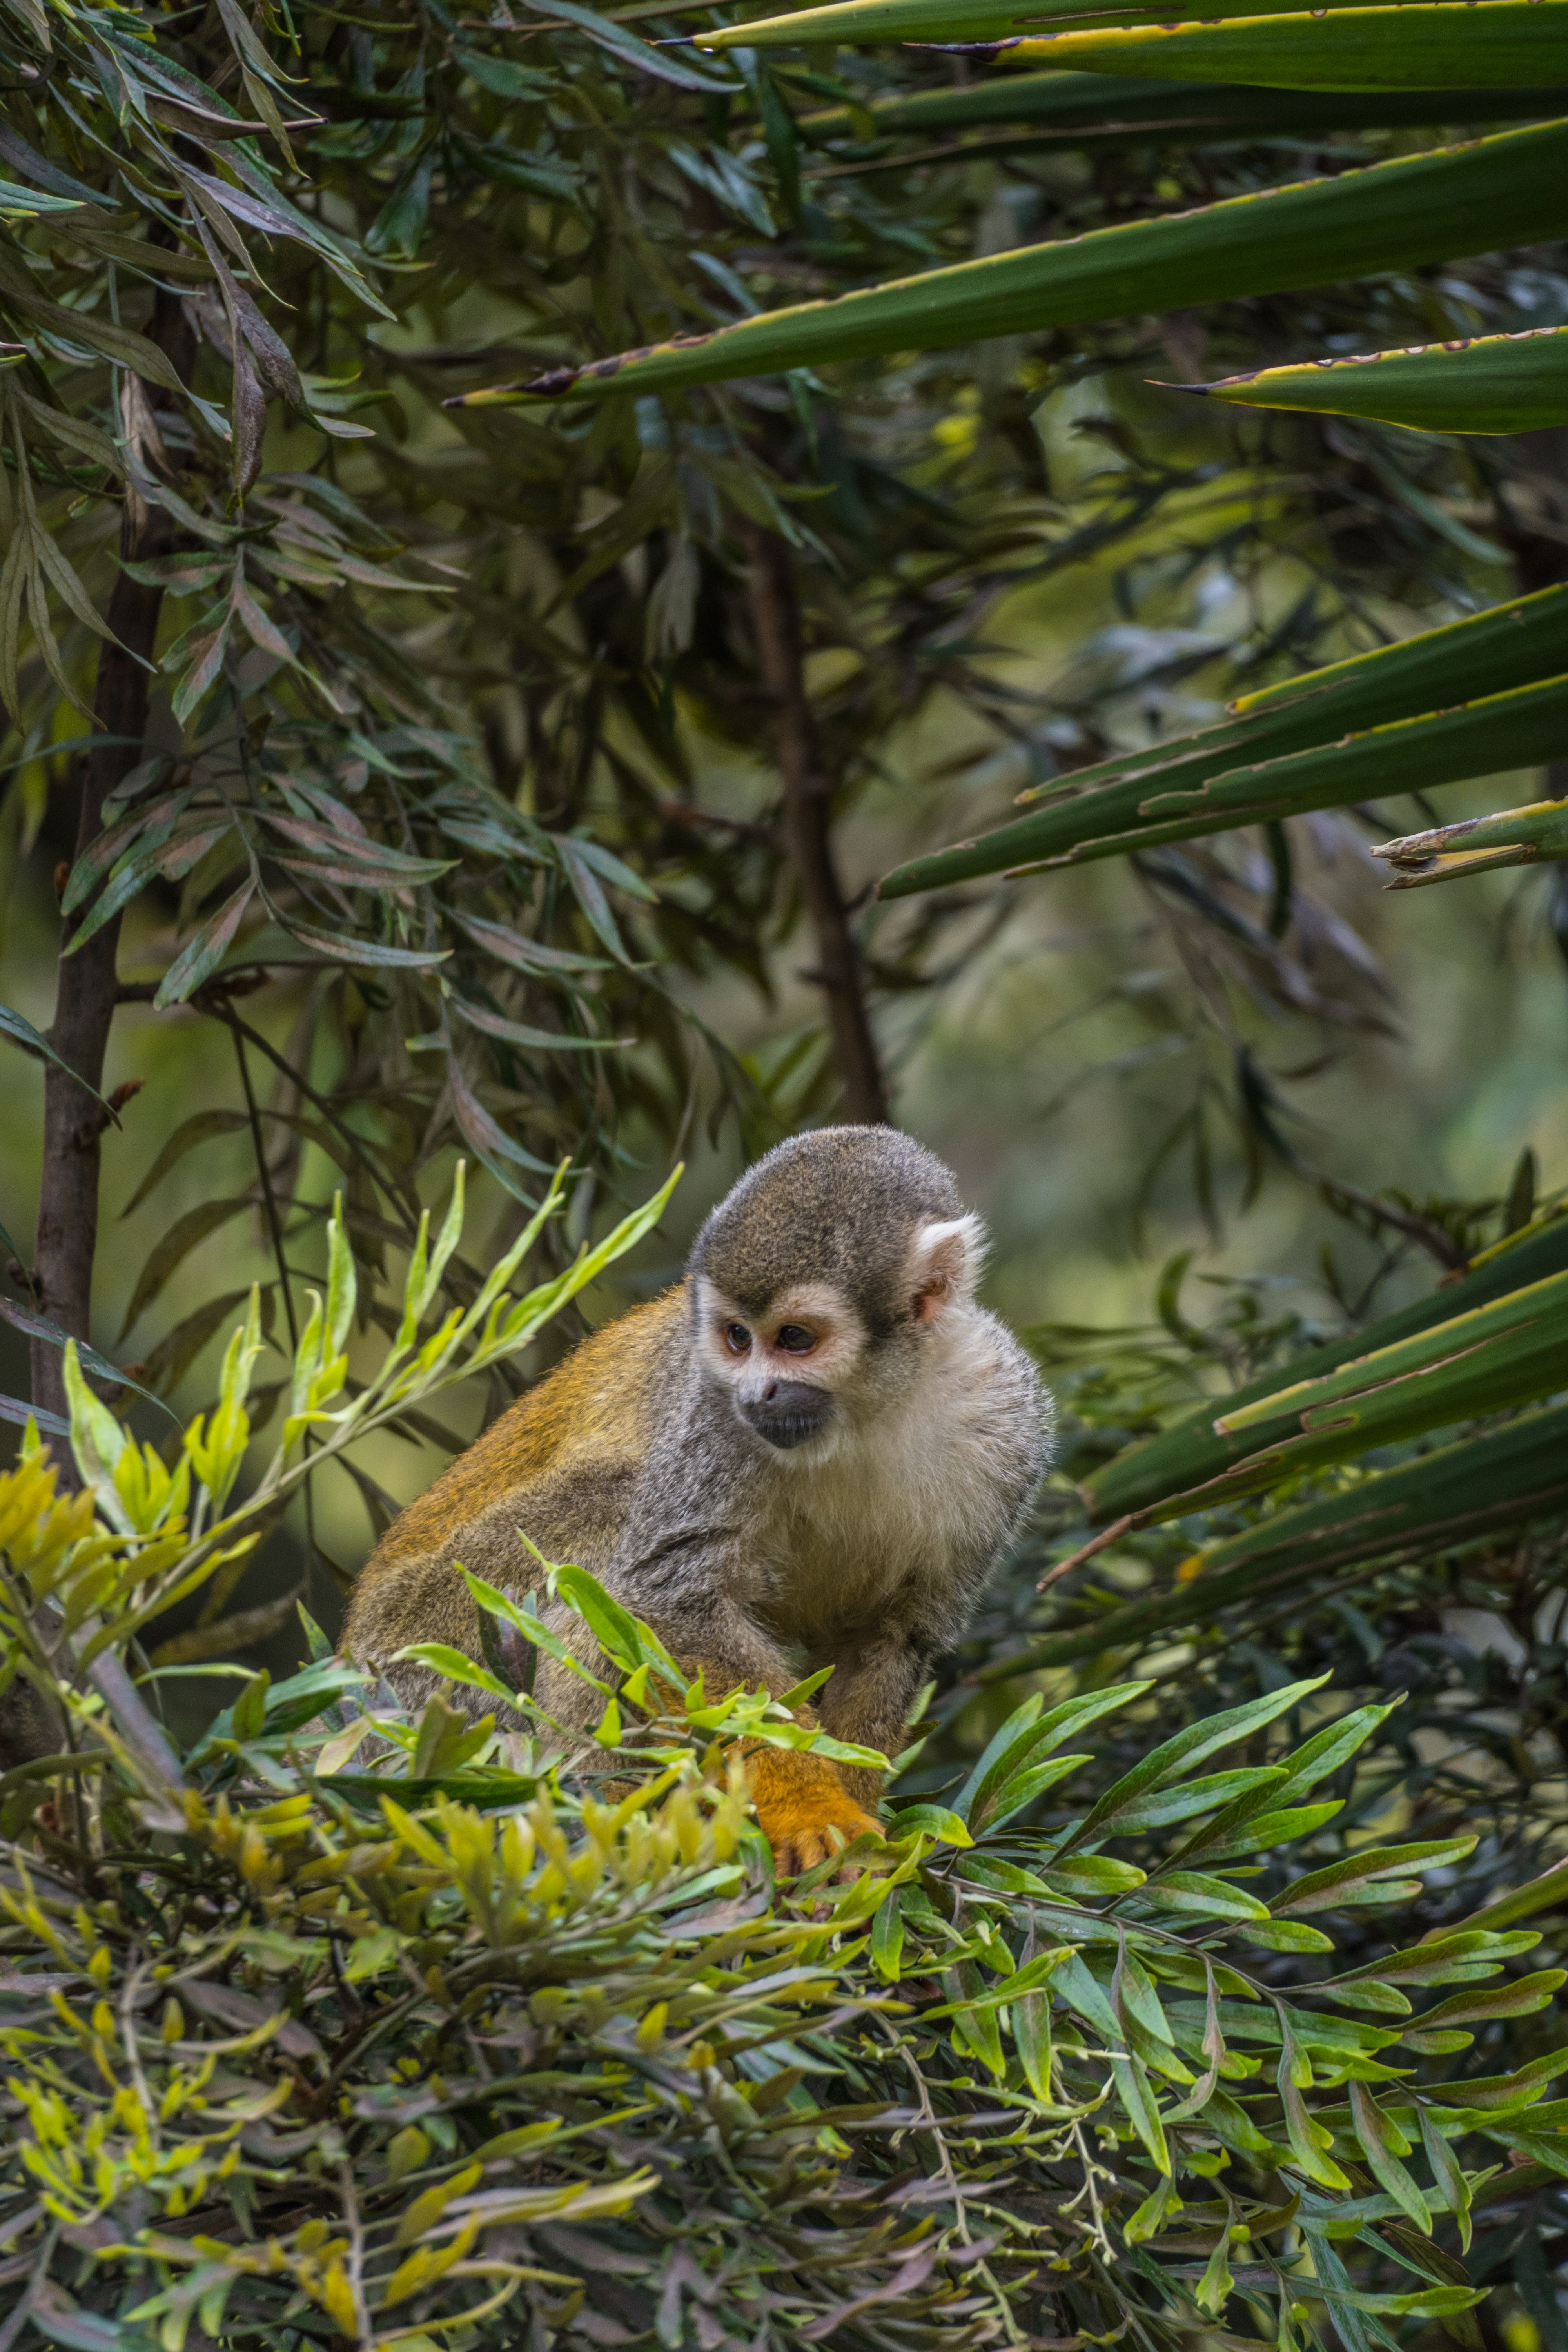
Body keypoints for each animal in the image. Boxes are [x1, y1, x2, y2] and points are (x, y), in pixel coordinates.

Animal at [344, 1126, 1052, 1872]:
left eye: (795, 1339)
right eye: (738, 1338)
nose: (758, 1395)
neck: (870, 1409)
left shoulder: (1009, 1428)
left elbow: (893, 1636)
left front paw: (862, 1845)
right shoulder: (712, 1414)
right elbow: (673, 1600)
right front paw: (817, 1813)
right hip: (430, 1673)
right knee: (611, 1522)